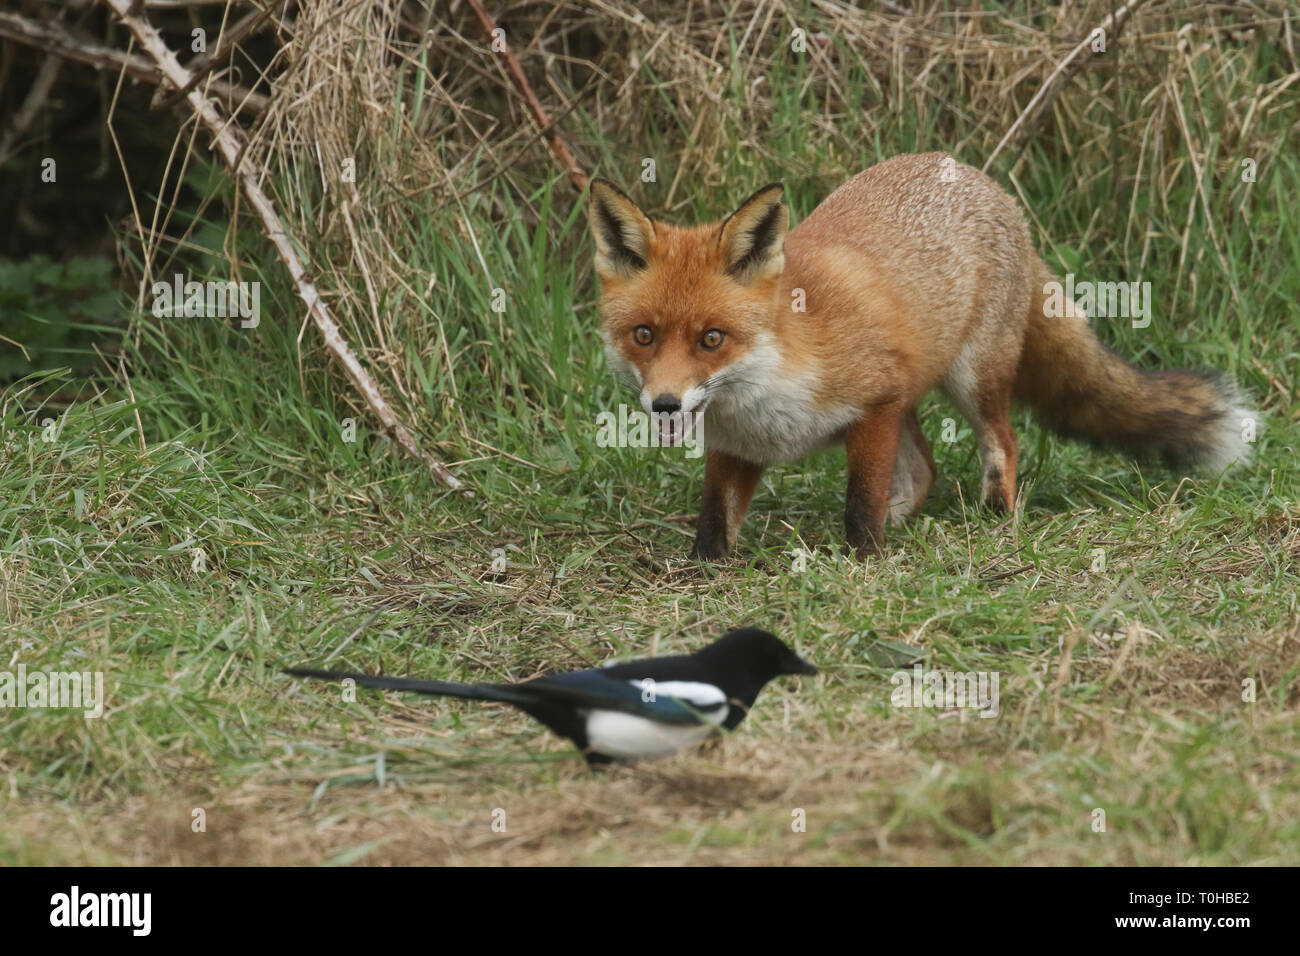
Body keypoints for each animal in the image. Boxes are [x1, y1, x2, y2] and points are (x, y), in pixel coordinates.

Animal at [587, 153, 1255, 560]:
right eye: (644, 336)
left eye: (711, 339)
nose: (664, 404)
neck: (770, 383)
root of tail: (991, 188)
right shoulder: (737, 448)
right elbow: (714, 520)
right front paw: (702, 572)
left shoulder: (874, 407)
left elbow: (861, 503)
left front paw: (865, 563)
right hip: (916, 390)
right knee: (927, 469)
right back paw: (911, 520)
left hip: (972, 381)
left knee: (1002, 443)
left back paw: (997, 518)